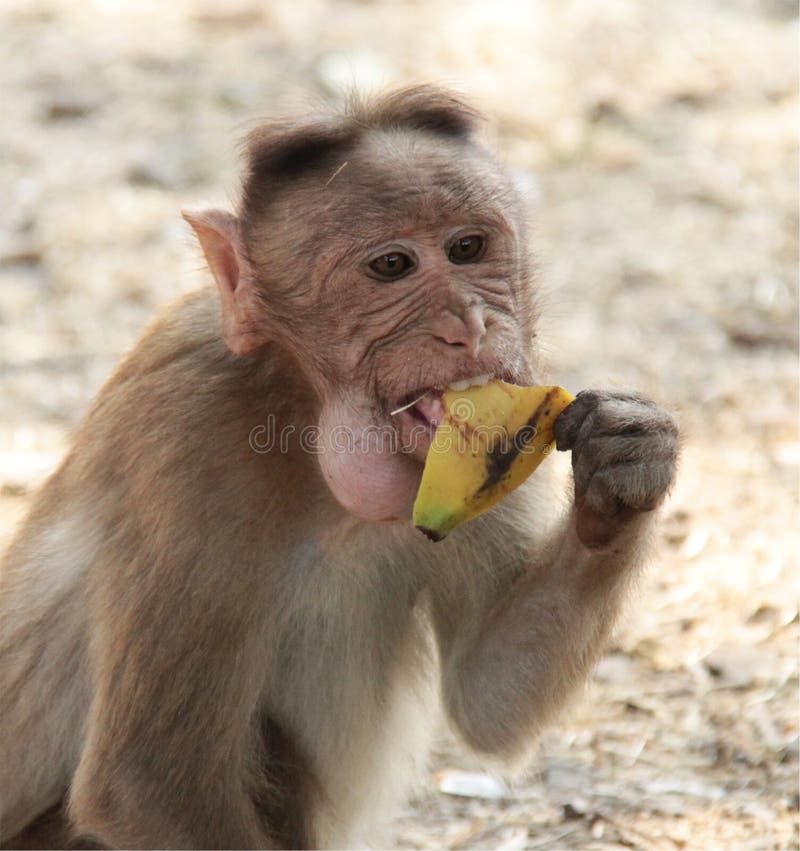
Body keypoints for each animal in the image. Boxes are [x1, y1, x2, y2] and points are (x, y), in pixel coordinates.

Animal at [0, 85, 679, 850]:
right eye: (391, 267)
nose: (470, 324)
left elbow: (487, 696)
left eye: (468, 248)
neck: (300, 421)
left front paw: (626, 470)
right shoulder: (183, 438)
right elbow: (145, 781)